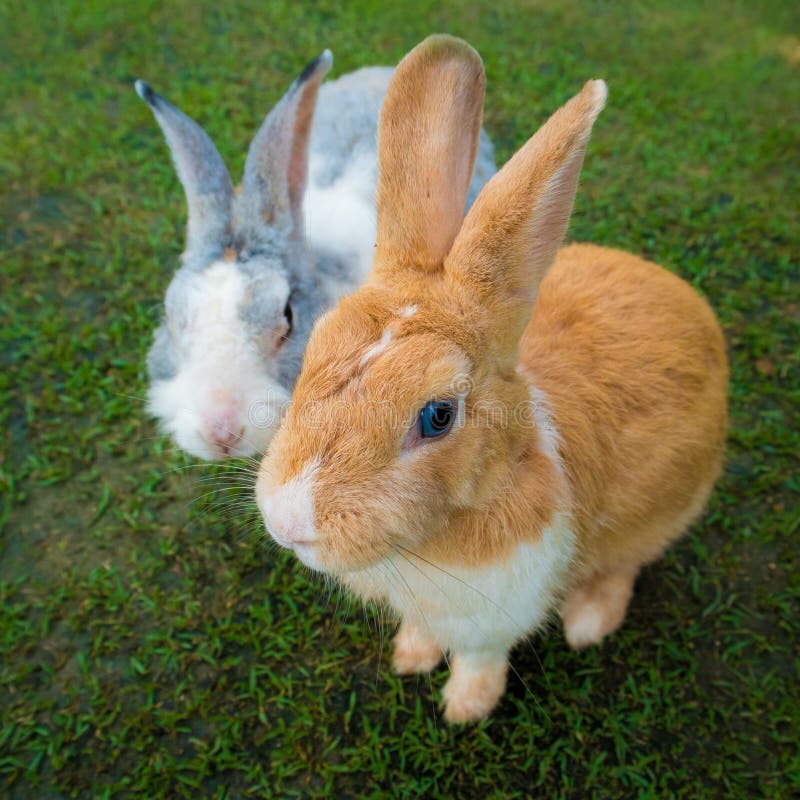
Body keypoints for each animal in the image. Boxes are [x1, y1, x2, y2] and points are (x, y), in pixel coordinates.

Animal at [254, 35, 728, 723]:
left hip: (659, 513)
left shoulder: (496, 617)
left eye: (438, 416)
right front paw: (411, 657)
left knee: (624, 566)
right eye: (313, 345)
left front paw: (464, 708)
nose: (288, 521)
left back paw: (587, 623)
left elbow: (481, 659)